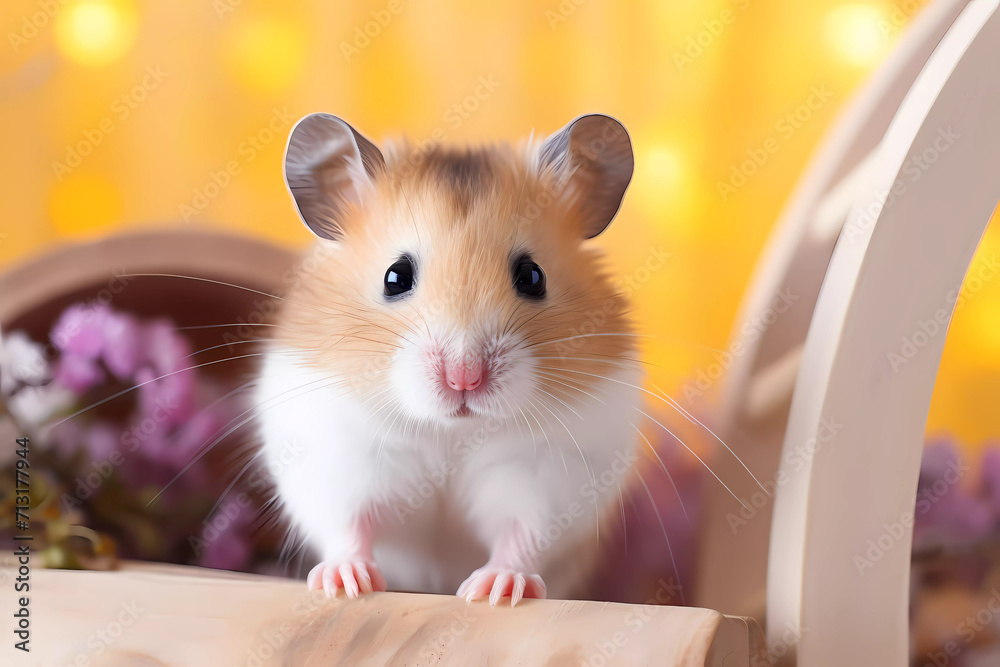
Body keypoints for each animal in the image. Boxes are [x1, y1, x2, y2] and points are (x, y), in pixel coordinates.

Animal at [254, 112, 642, 606]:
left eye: (533, 277)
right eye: (395, 277)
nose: (464, 379)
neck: (452, 433)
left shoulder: (550, 471)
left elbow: (522, 534)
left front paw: (495, 591)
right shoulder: (342, 456)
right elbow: (349, 525)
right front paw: (346, 585)